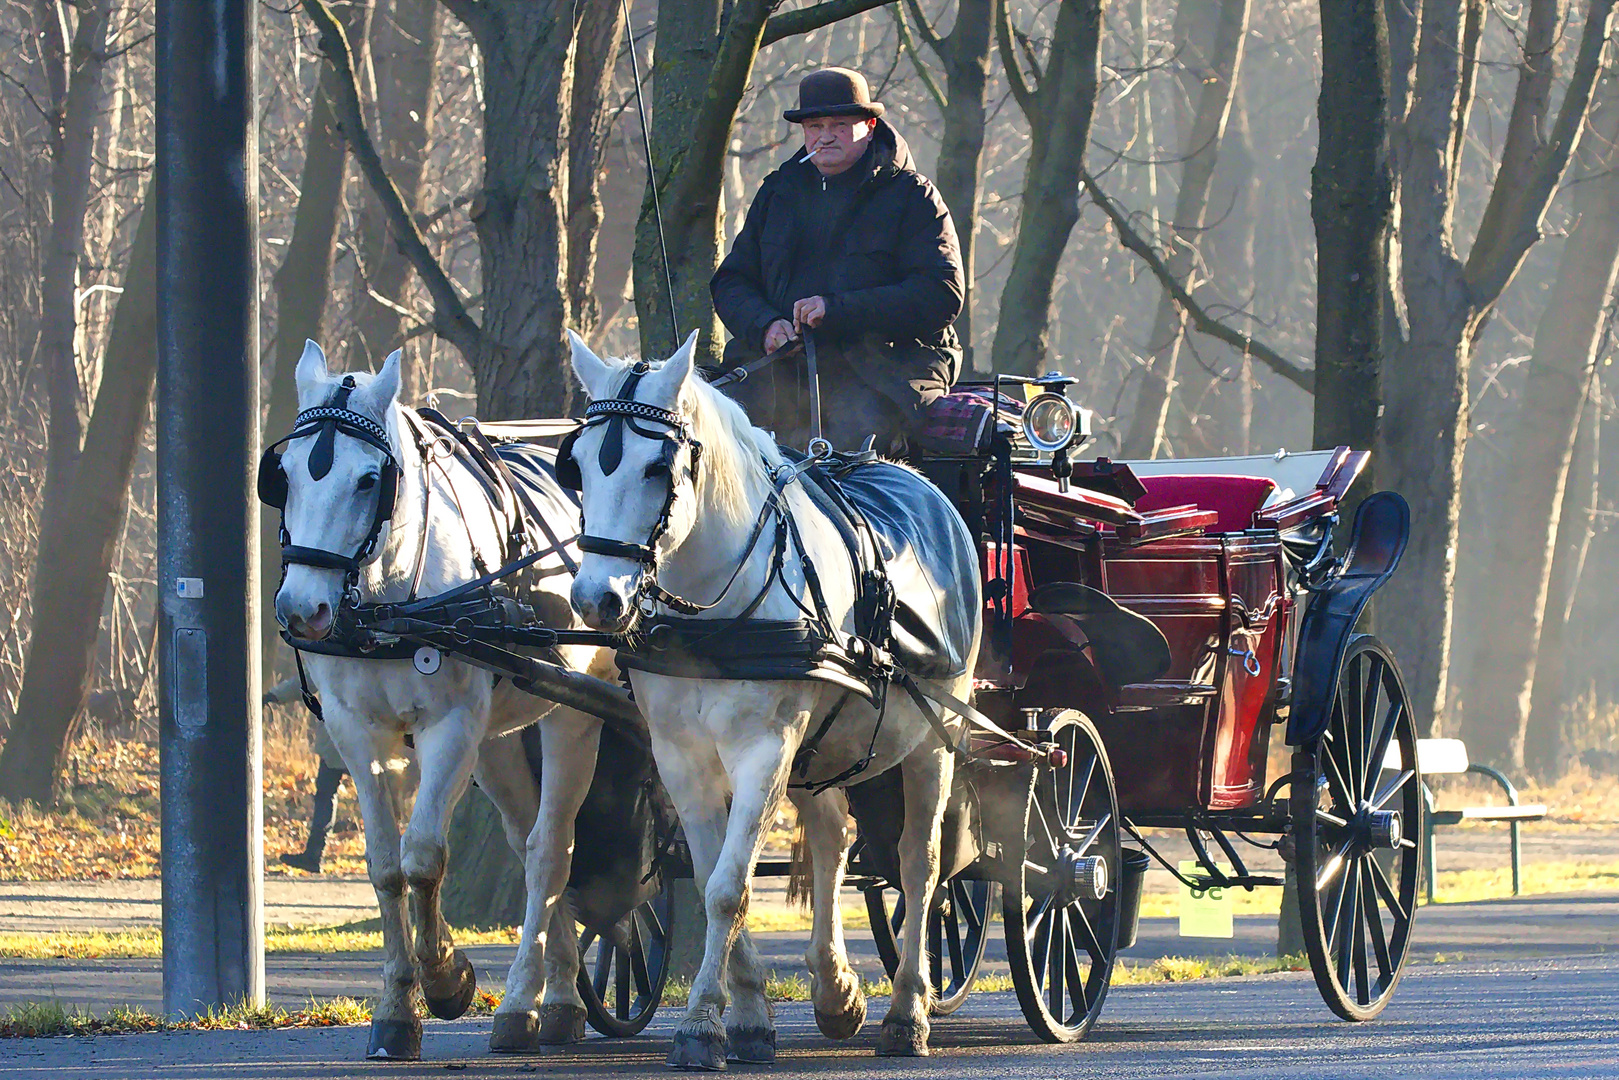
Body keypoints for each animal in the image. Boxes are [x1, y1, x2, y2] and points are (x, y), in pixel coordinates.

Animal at [268, 341, 615, 1062]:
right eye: (281, 475)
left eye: (369, 481)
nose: (302, 611)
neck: (392, 597)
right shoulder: (353, 730)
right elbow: (384, 866)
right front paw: (398, 1008)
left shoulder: (449, 726)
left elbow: (424, 856)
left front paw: (447, 977)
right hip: (498, 743)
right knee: (529, 844)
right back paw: (559, 993)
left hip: (573, 715)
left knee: (552, 850)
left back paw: (529, 1003)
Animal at [563, 335, 977, 1062]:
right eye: (580, 466)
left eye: (657, 467)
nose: (596, 600)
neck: (714, 611)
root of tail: (912, 478)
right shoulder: (681, 755)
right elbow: (711, 878)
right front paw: (747, 1017)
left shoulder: (764, 748)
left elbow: (729, 888)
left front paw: (701, 1024)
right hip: (823, 749)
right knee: (832, 844)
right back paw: (836, 993)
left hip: (932, 742)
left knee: (918, 866)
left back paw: (907, 1011)